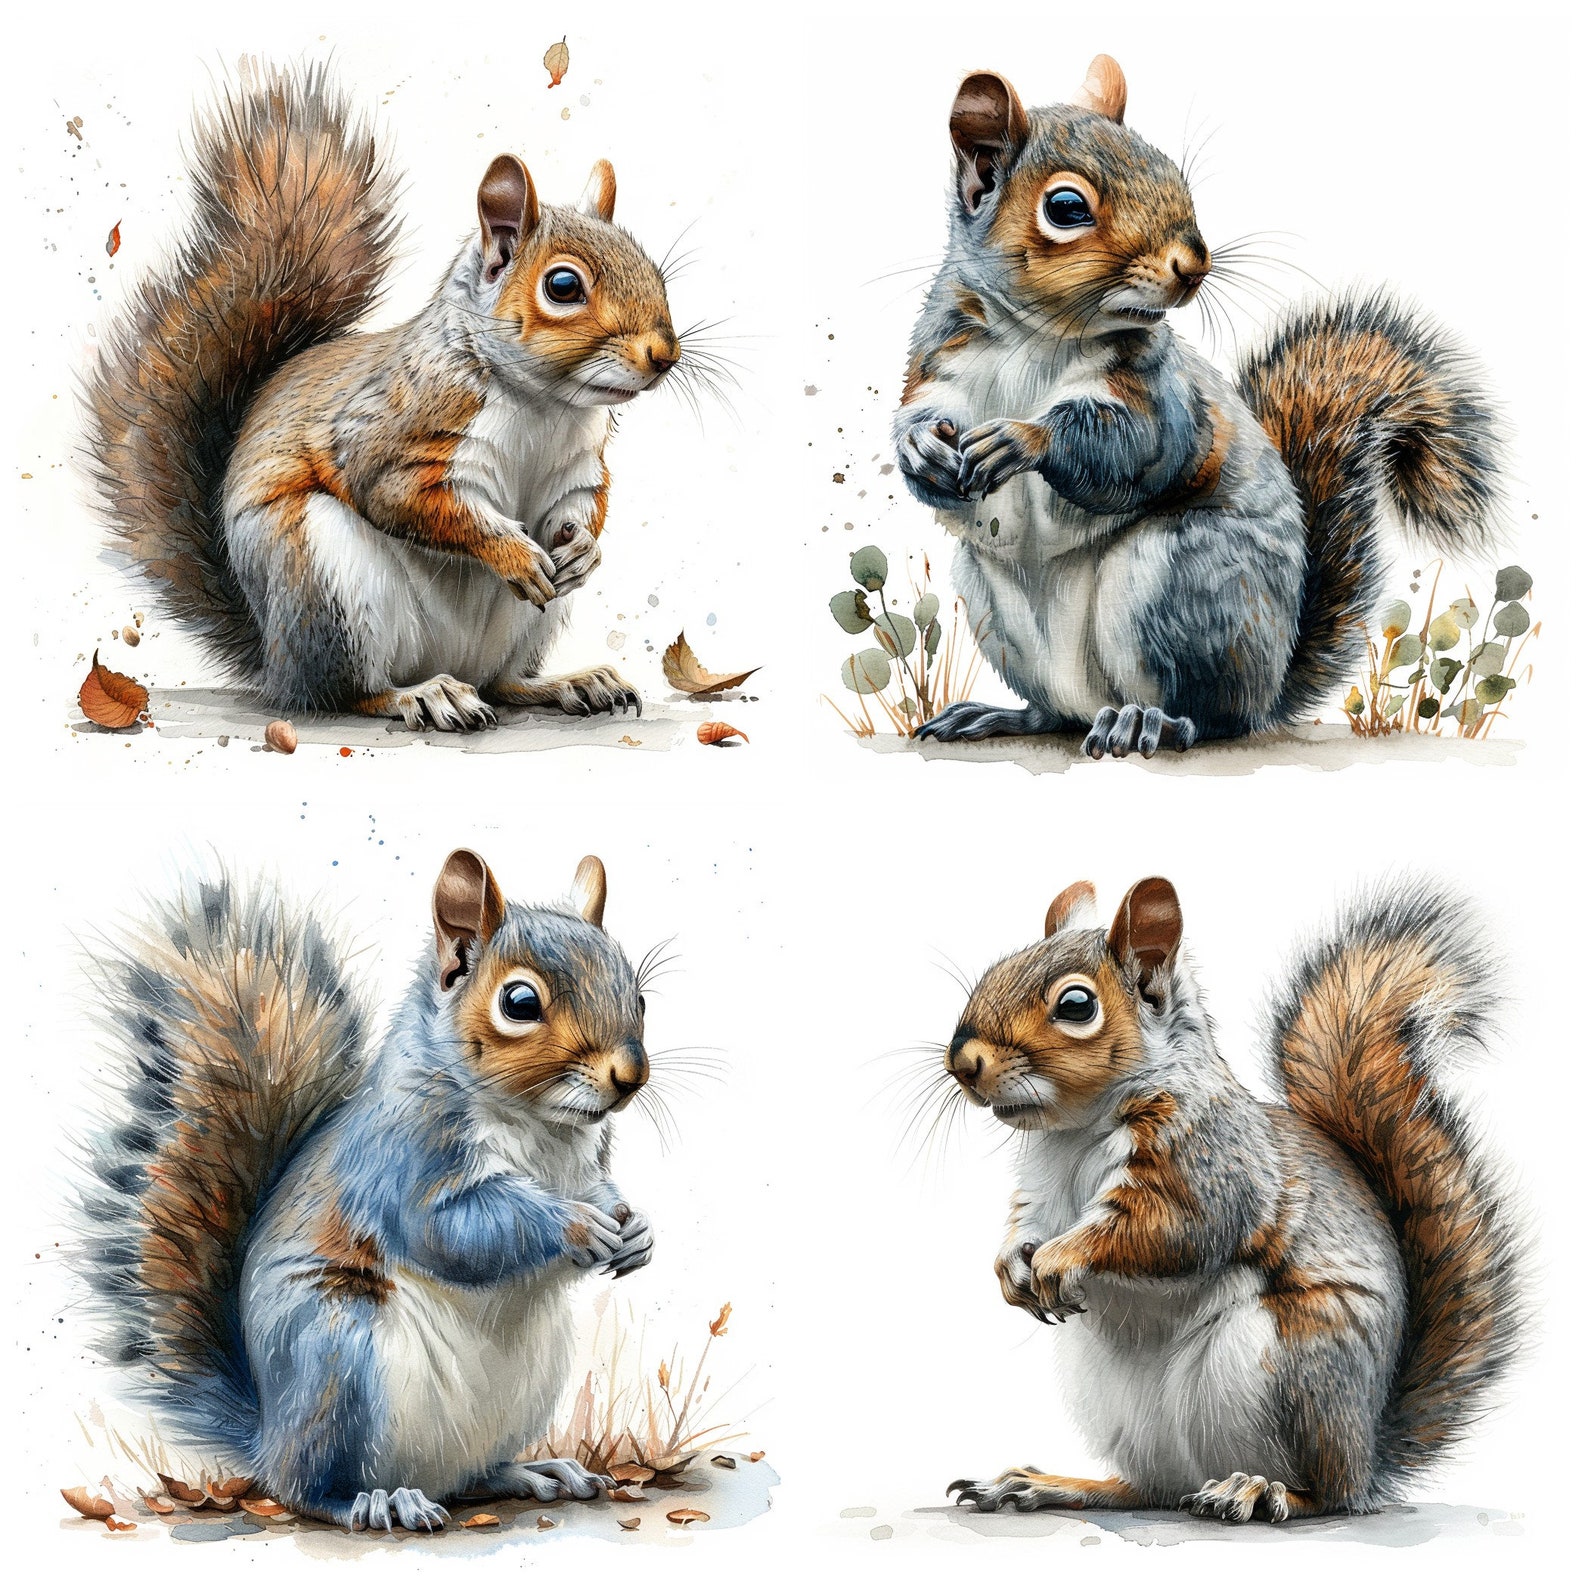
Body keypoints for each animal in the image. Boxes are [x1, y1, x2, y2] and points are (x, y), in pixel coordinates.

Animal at [74, 848, 658, 1531]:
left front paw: (636, 1231)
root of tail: (268, 1436)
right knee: (306, 1487)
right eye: (519, 1002)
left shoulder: (587, 1168)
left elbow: (602, 1192)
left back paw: (532, 1471)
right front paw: (575, 1226)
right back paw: (379, 1501)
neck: (543, 1127)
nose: (630, 1075)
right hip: (336, 1357)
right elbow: (454, 1233)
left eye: (639, 995)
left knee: (469, 1476)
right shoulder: (402, 1158)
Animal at [87, 62, 685, 732]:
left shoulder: (578, 467)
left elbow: (582, 507)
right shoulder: (395, 433)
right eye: (562, 286)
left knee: (504, 683)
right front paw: (511, 552)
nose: (664, 354)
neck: (545, 406)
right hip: (324, 582)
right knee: (346, 692)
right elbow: (403, 496)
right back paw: (423, 695)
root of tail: (274, 657)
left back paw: (569, 683)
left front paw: (584, 551)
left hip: (527, 625)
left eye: (654, 271)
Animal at [895, 56, 1505, 757]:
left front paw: (1024, 439)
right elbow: (917, 426)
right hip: (996, 606)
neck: (1037, 335)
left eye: (1174, 174)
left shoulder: (1163, 399)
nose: (1193, 263)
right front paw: (920, 449)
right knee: (1057, 712)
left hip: (1180, 586)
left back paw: (1147, 721)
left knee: (1210, 717)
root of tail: (1270, 688)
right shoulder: (937, 369)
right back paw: (1001, 715)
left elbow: (1133, 450)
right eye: (1066, 207)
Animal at [940, 873, 1524, 1522]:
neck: (1077, 1132)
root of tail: (1366, 1459)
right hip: (1121, 1407)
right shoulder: (1043, 1190)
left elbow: (1168, 1228)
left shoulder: (1210, 1162)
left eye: (1076, 1006)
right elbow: (1028, 1225)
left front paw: (1060, 1257)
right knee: (1150, 1487)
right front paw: (1010, 1269)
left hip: (1290, 1369)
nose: (962, 1060)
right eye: (996, 969)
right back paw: (1051, 1484)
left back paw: (1261, 1489)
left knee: (1323, 1493)